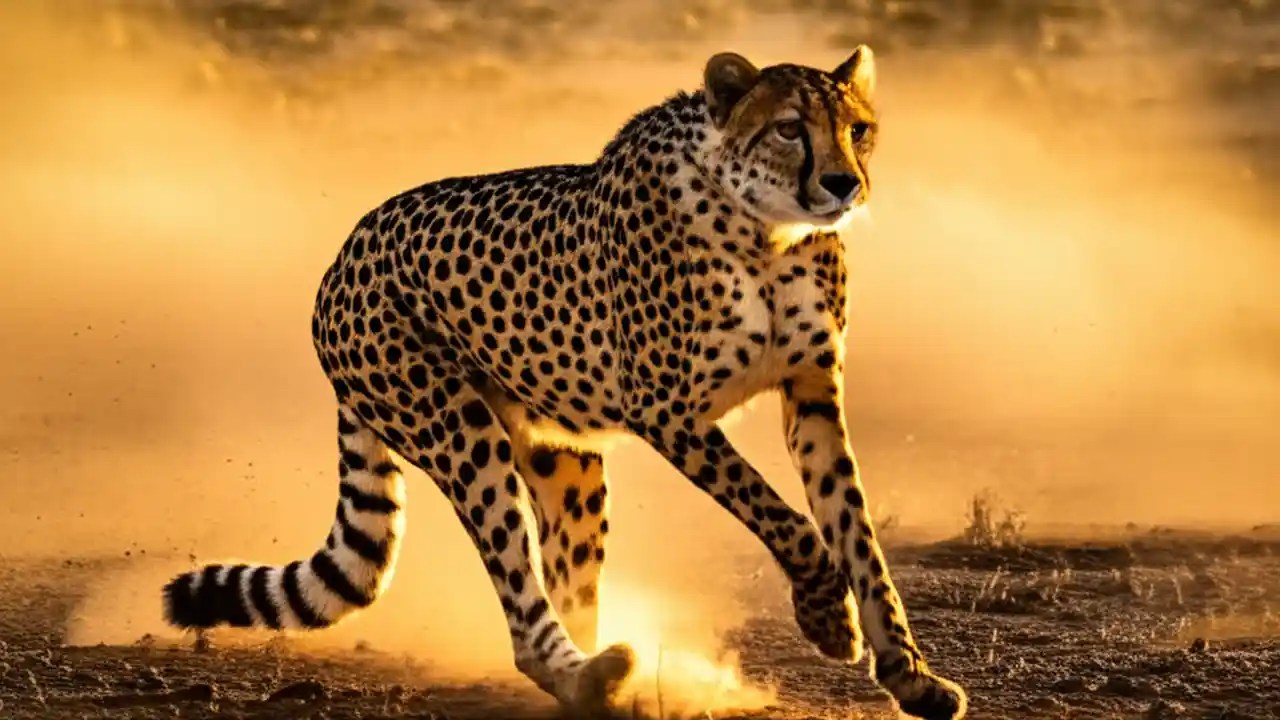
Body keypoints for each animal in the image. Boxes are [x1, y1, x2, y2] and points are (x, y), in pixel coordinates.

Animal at [161, 46, 967, 719]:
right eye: (790, 130)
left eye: (858, 129)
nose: (843, 183)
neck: (768, 236)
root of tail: (344, 252)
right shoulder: (668, 412)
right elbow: (785, 518)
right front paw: (828, 616)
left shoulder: (812, 398)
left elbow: (858, 534)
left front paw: (910, 674)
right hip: (457, 429)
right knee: (520, 597)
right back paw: (585, 676)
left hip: (564, 461)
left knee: (569, 581)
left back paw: (603, 676)